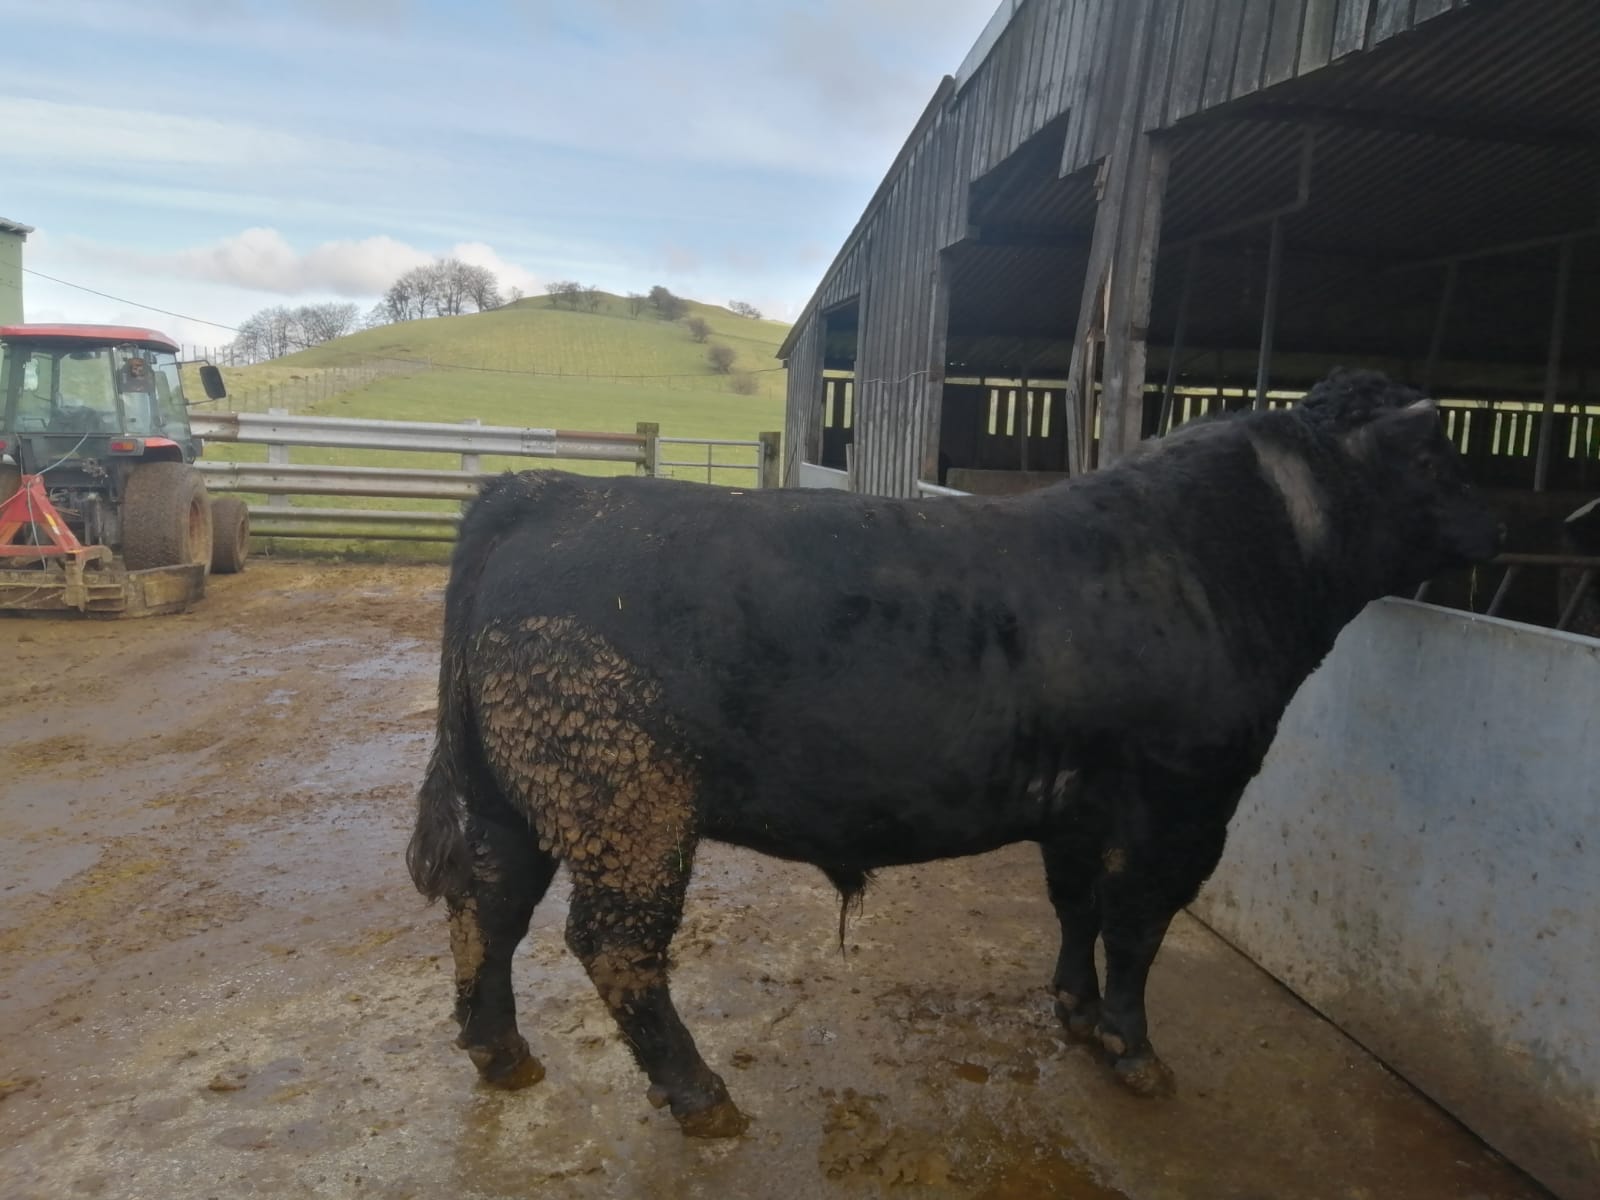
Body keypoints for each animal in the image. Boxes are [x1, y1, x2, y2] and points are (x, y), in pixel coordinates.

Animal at [407, 368, 1500, 1138]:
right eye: (1436, 456)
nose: (1505, 524)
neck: (1211, 558)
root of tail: (545, 492)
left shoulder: (1083, 806)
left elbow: (1077, 905)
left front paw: (1072, 1009)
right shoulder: (1184, 798)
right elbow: (1138, 926)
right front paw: (1133, 1049)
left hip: (519, 800)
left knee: (488, 908)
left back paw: (500, 1051)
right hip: (627, 804)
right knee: (614, 945)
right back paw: (699, 1094)